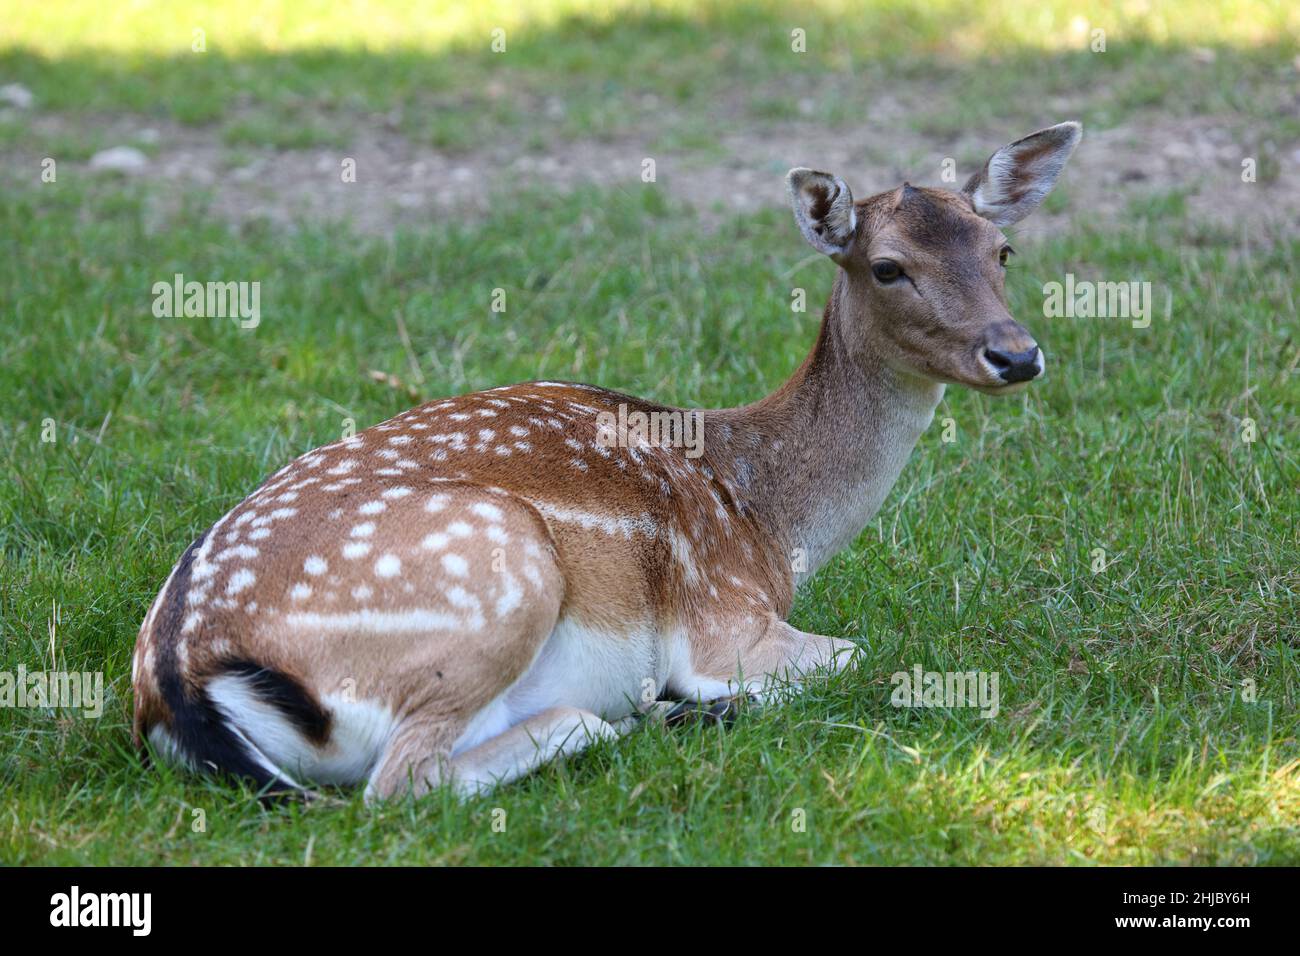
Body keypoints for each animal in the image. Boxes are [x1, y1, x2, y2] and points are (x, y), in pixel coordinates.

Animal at [132, 122, 1081, 799]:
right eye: (888, 267)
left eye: (1002, 251)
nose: (1017, 354)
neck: (769, 521)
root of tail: (177, 686)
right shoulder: (722, 620)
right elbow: (854, 654)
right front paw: (704, 701)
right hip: (500, 570)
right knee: (405, 782)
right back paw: (637, 718)